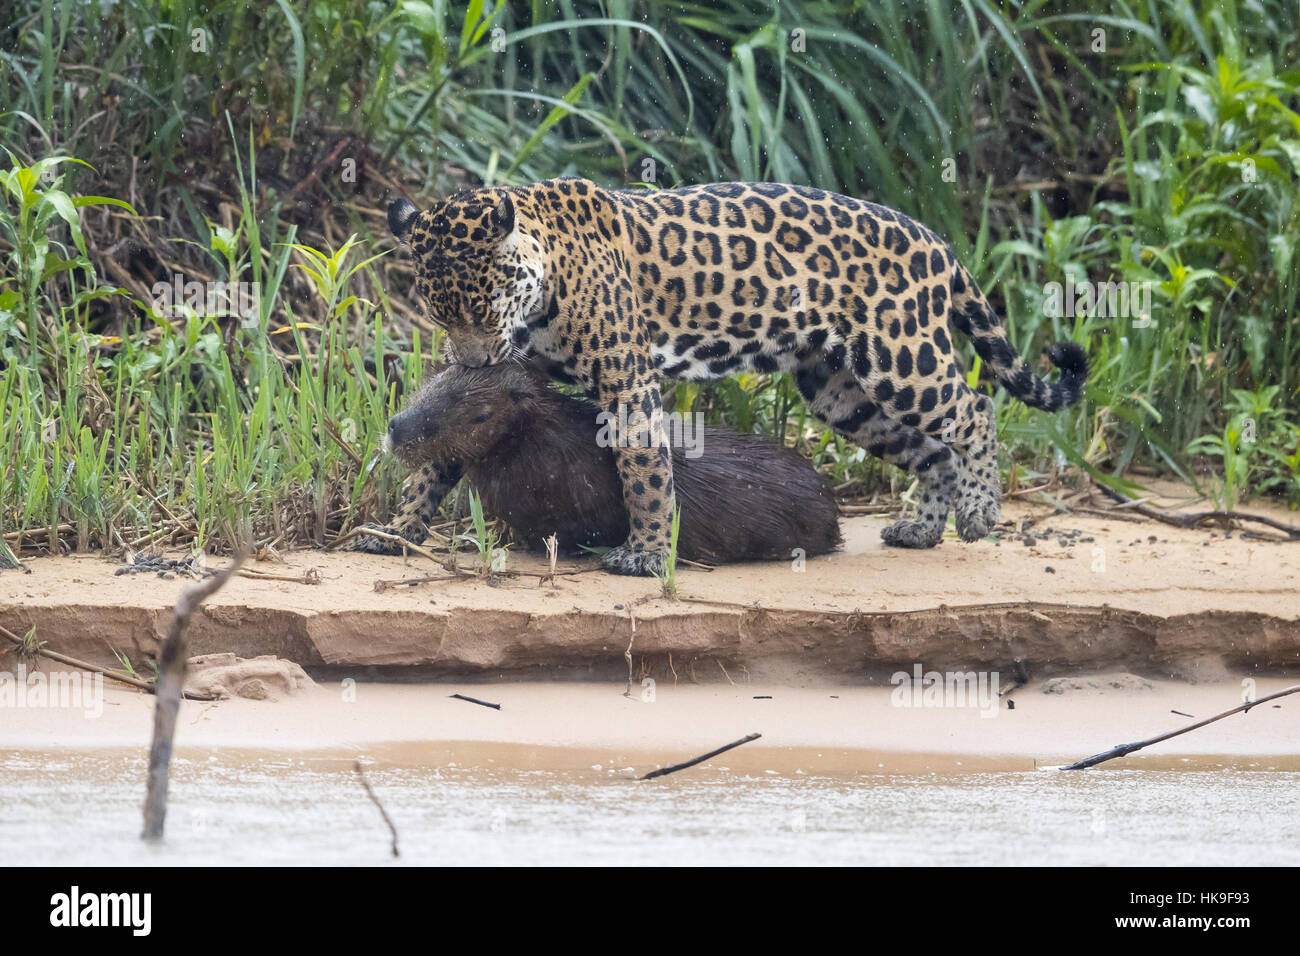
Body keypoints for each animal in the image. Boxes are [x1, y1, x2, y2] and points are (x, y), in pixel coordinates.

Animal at [363, 177, 1087, 576]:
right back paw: (922, 529)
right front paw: (395, 531)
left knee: (973, 410)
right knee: (931, 448)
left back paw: (979, 510)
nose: (476, 361)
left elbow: (645, 472)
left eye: (482, 307)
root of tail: (937, 241)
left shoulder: (627, 382)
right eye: (439, 313)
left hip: (901, 357)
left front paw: (648, 553)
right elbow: (438, 462)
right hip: (840, 392)